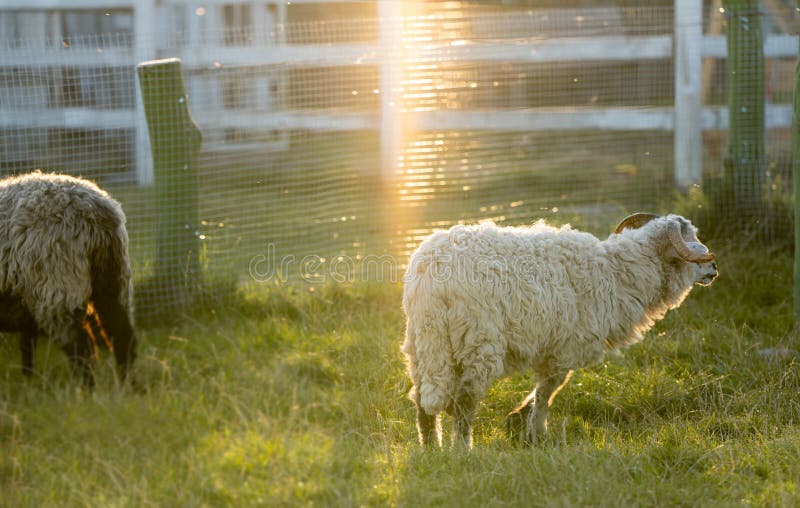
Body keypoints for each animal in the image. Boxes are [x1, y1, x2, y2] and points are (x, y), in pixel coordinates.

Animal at [0, 171, 137, 387]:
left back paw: (86, 390)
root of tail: (97, 211)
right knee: (122, 335)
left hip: (58, 287)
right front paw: (29, 384)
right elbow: (27, 348)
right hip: (114, 280)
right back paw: (129, 387)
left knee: (81, 348)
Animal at [401, 213, 717, 447]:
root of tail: (432, 269)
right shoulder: (565, 347)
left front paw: (517, 421)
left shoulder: (551, 348)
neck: (618, 274)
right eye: (690, 240)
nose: (713, 266)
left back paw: (431, 451)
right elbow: (548, 392)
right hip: (477, 341)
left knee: (423, 403)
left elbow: (543, 392)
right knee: (464, 401)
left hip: (423, 342)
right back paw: (463, 450)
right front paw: (536, 432)